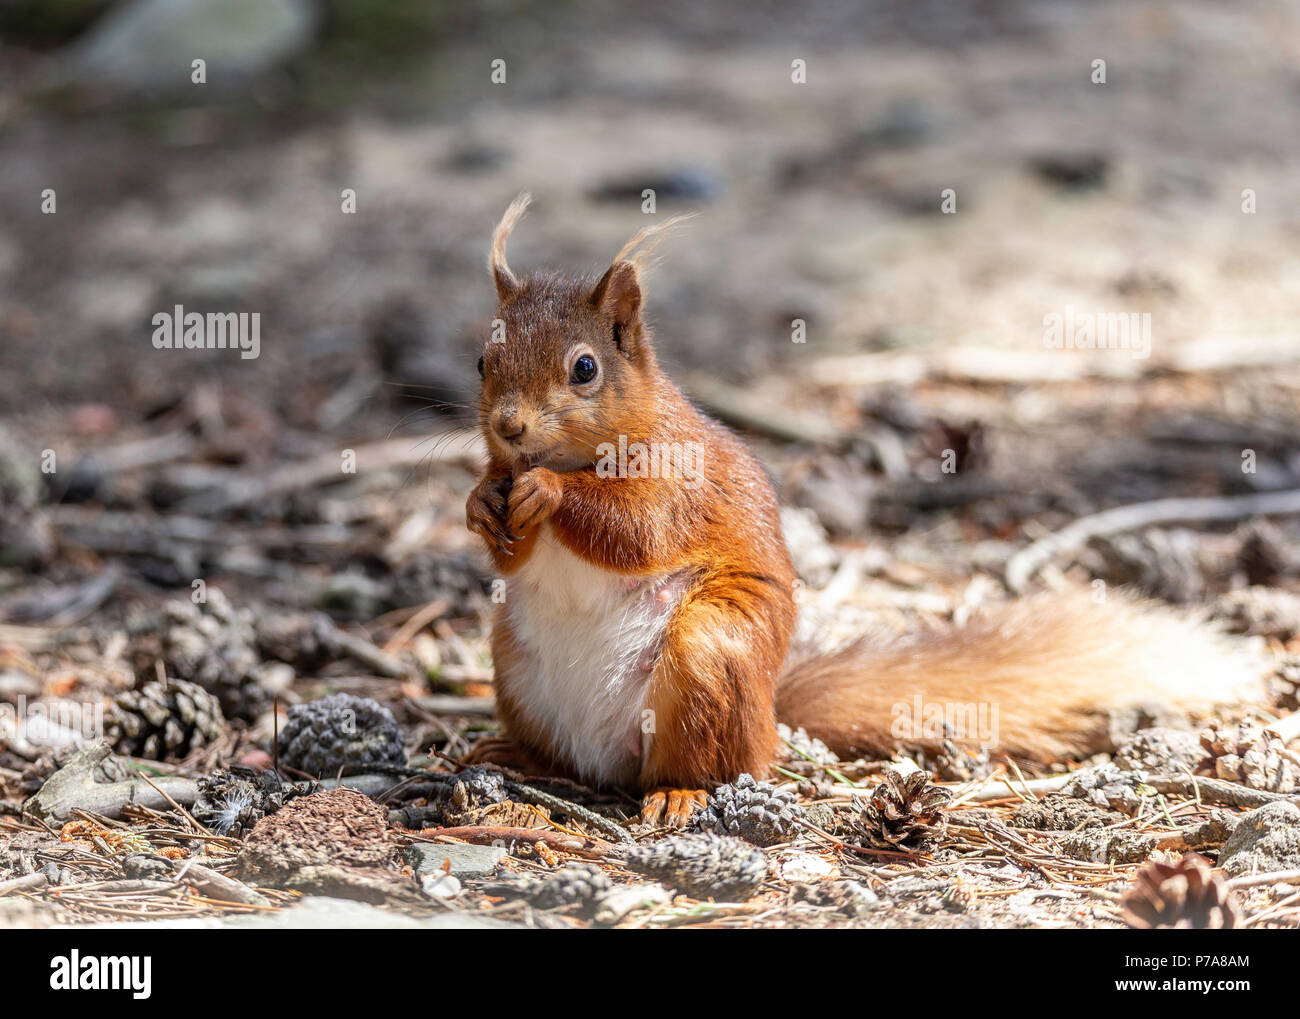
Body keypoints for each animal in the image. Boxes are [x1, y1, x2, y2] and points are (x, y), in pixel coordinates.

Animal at [463, 194, 1259, 826]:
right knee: (568, 758)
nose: (508, 426)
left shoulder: (680, 481)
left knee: (709, 766)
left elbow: (636, 531)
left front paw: (549, 492)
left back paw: (679, 793)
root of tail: (773, 723)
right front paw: (479, 500)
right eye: (481, 361)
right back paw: (513, 754)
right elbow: (512, 541)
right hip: (512, 660)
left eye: (585, 368)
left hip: (709, 652)